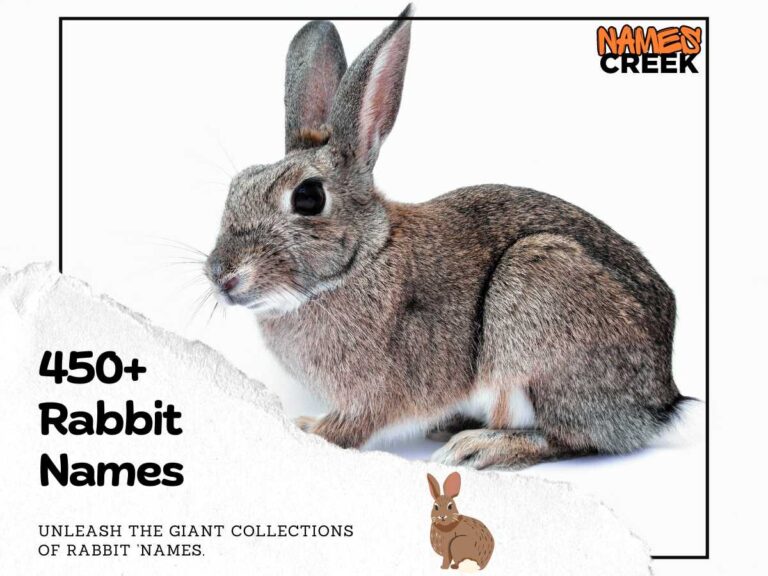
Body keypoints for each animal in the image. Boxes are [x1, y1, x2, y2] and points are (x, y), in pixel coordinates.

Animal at [205, 4, 694, 469]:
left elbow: (350, 428)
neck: (363, 260)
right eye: (238, 186)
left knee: (570, 438)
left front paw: (305, 429)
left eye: (308, 198)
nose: (220, 275)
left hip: (537, 302)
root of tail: (660, 402)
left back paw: (479, 447)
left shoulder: (374, 393)